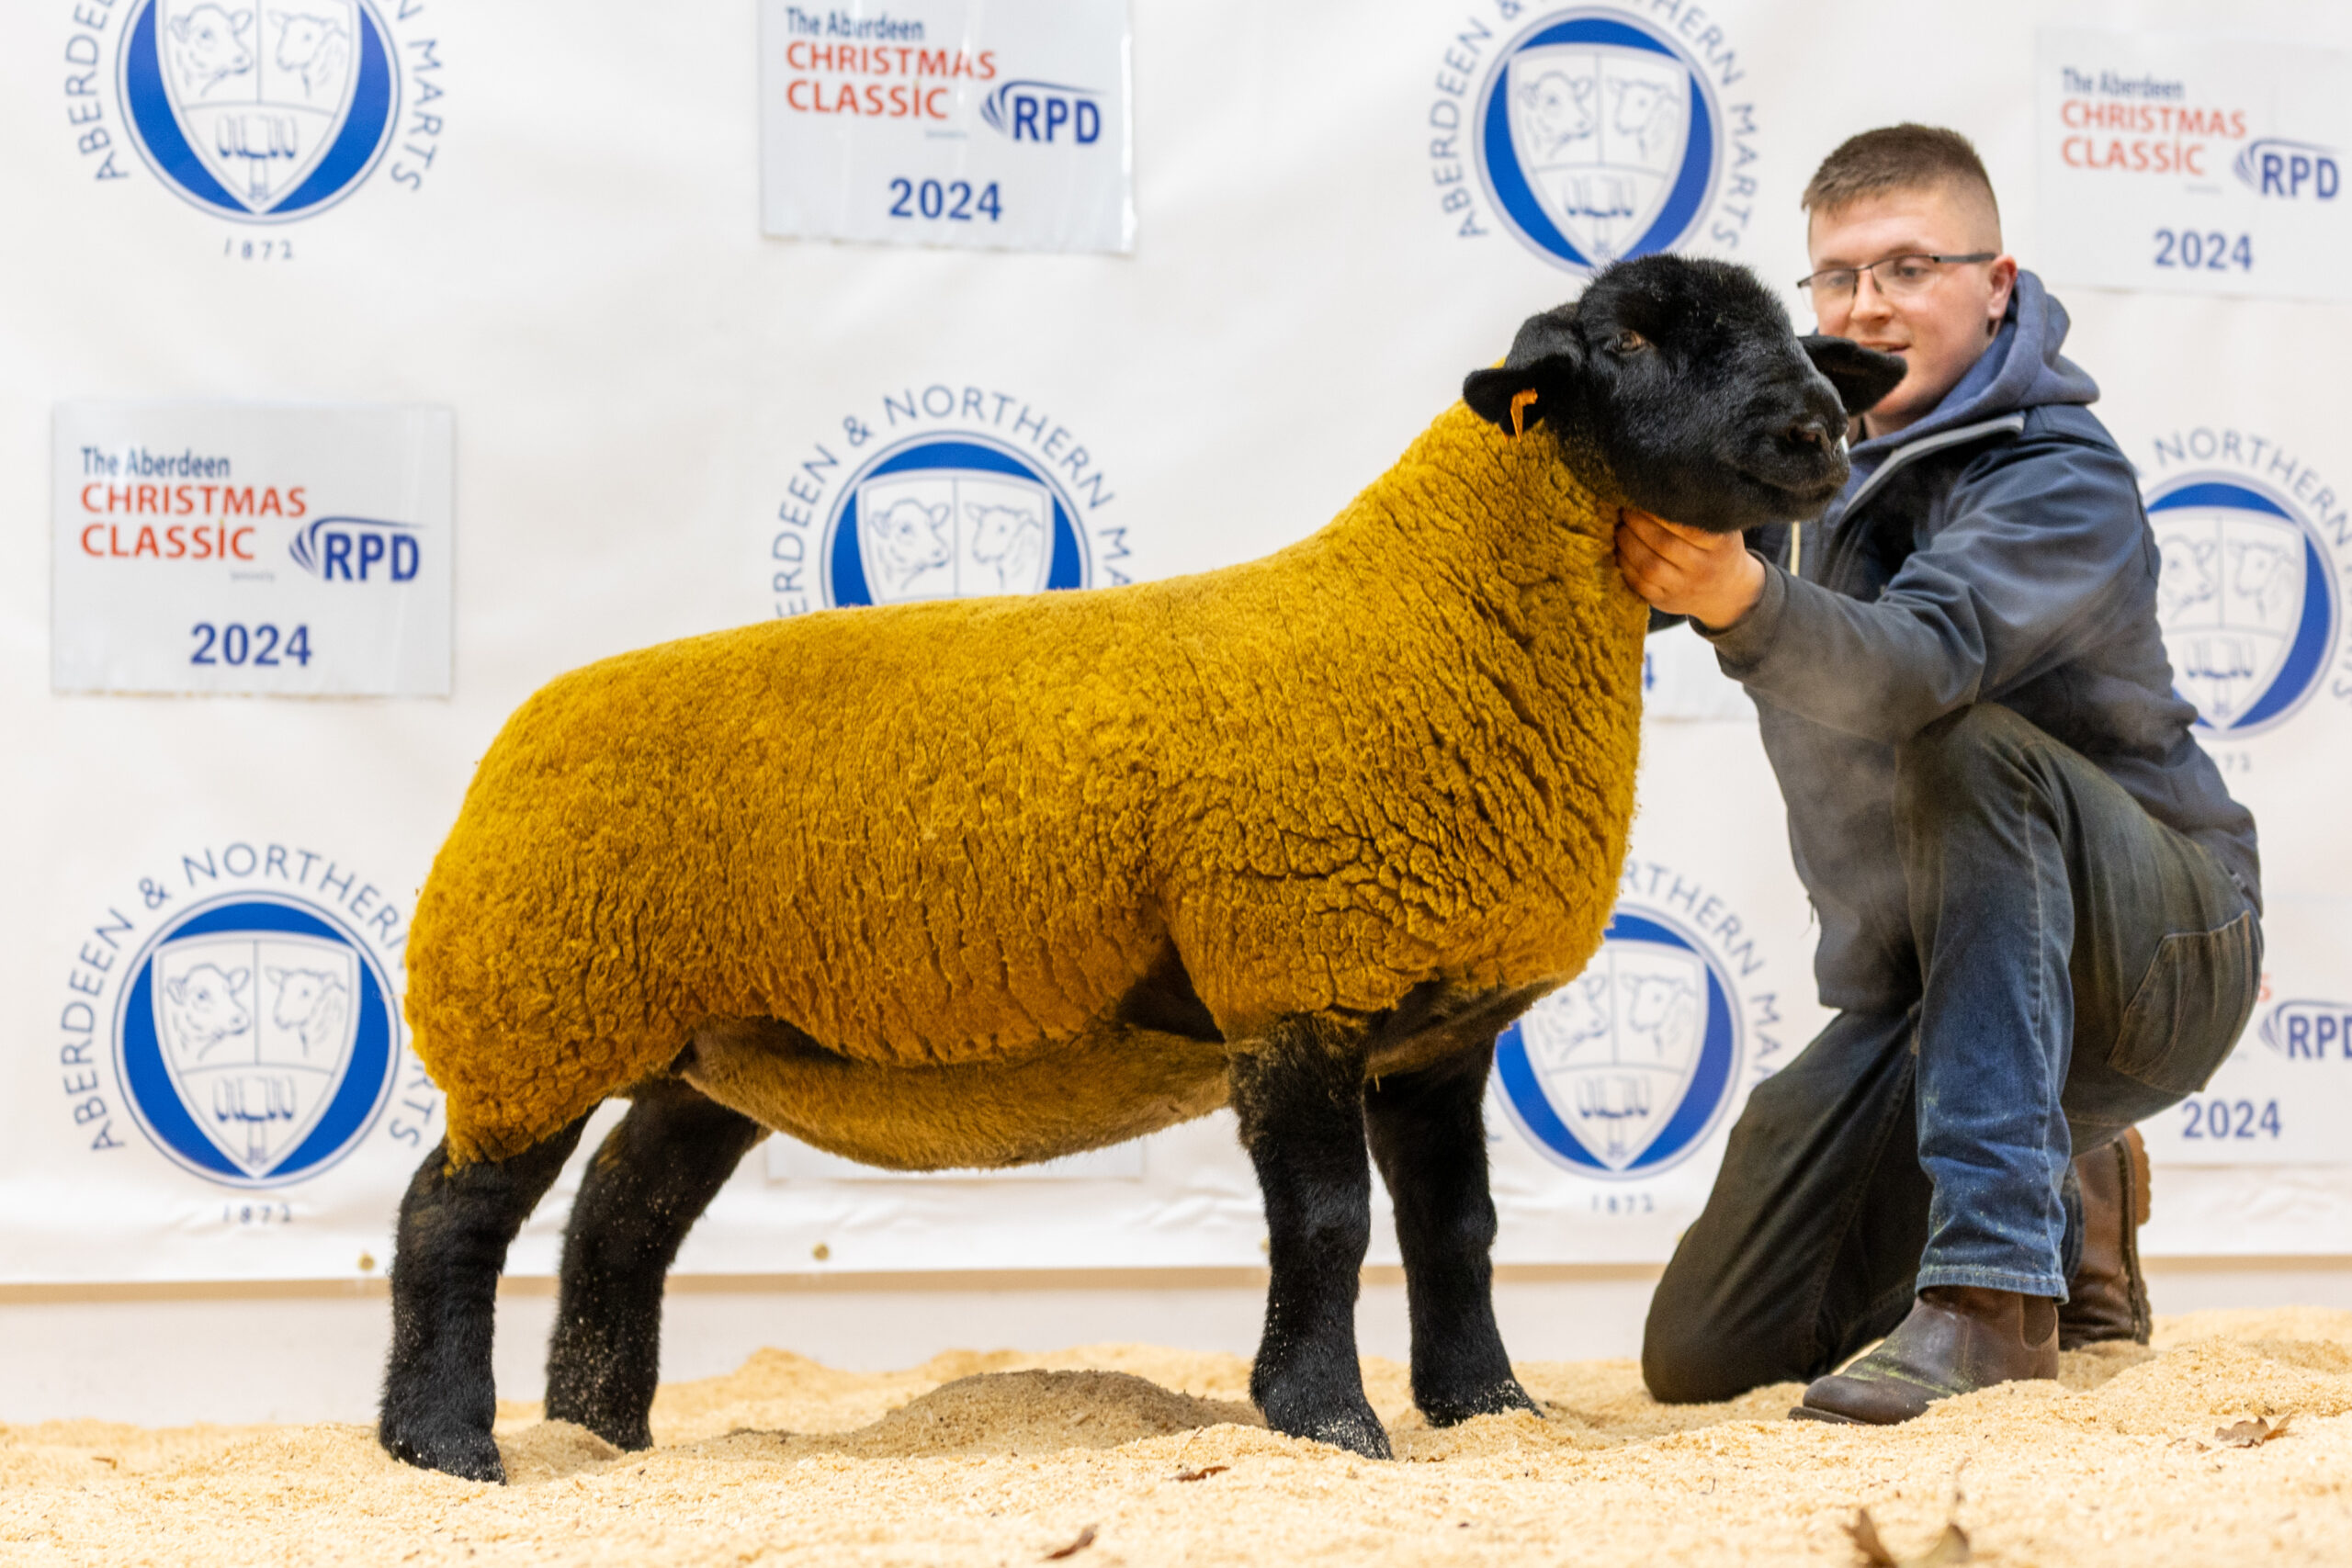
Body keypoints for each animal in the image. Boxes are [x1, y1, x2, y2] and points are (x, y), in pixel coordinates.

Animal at [376, 254, 1903, 1483]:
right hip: (535, 1013)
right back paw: (447, 1445)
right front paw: (1327, 1420)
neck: (1439, 617)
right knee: (447, 1217)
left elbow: (1457, 1226)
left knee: (617, 1223)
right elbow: (1331, 1221)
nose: (1816, 430)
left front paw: (1488, 1408)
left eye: (1789, 332)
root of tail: (522, 730)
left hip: (704, 1047)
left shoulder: (1435, 1026)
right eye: (1631, 340)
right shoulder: (1295, 979)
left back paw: (602, 1436)